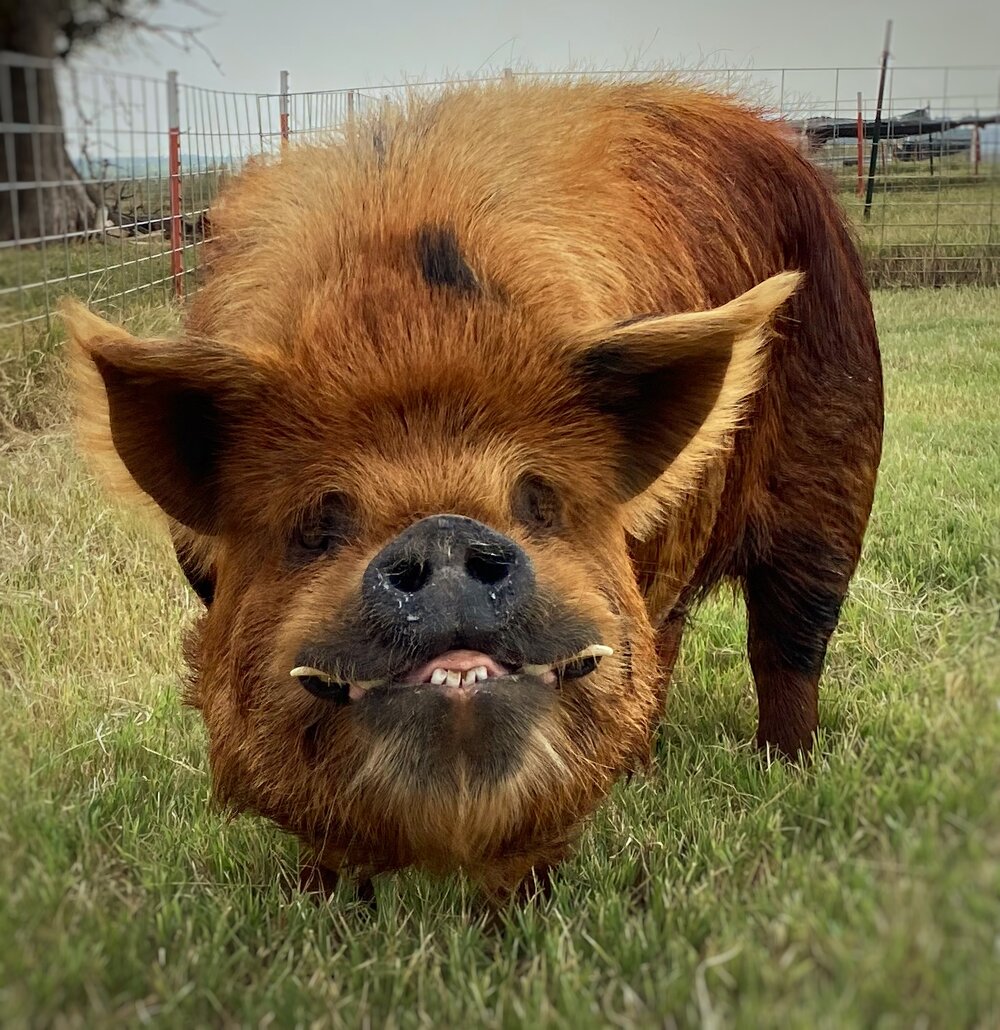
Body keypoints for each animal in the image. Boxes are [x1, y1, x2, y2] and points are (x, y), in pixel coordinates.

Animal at [66, 80, 885, 898]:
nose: (444, 530)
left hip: (837, 471)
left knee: (791, 638)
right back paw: (647, 776)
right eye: (318, 523)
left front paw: (527, 905)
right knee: (669, 638)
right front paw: (318, 899)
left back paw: (784, 772)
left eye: (539, 499)